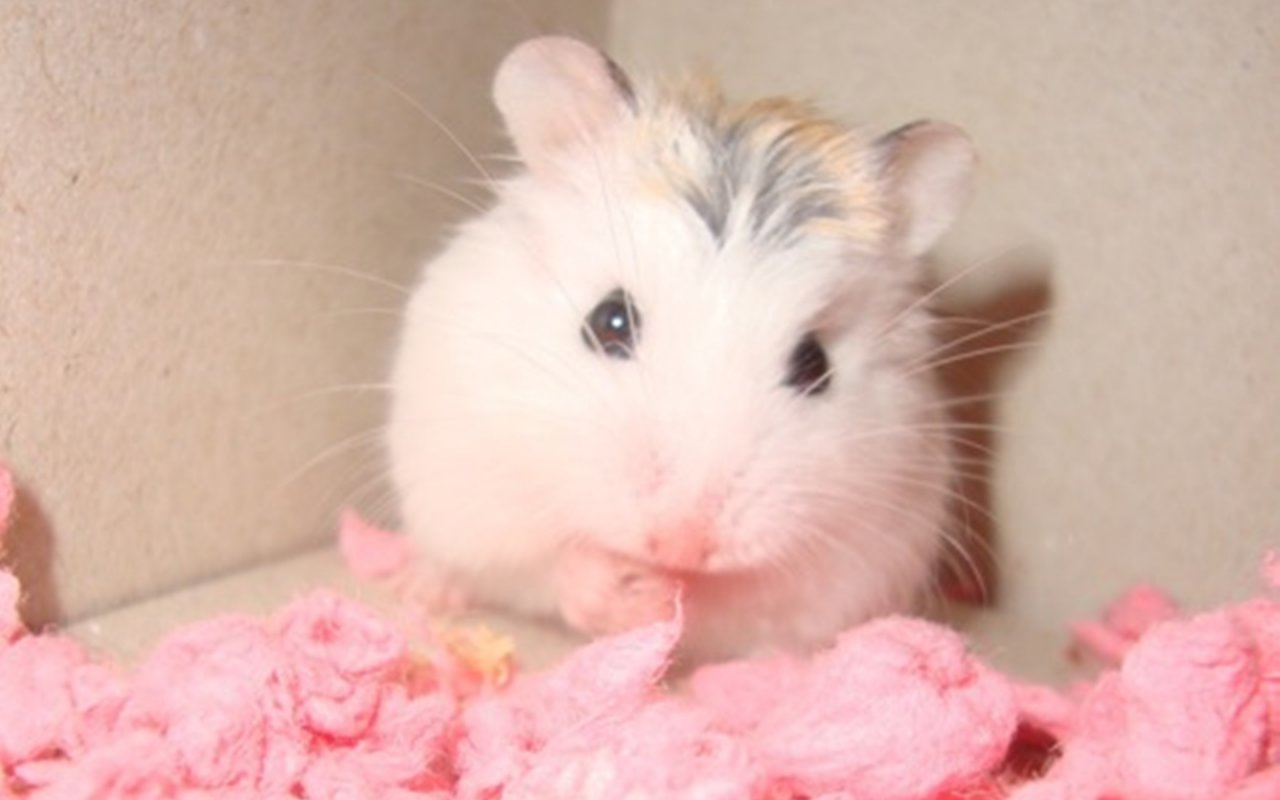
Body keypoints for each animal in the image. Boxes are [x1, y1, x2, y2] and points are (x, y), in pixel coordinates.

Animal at [388, 36, 976, 663]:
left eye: (815, 364)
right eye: (609, 320)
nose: (681, 544)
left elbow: (722, 601)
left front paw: (663, 596)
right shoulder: (484, 487)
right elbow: (552, 560)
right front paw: (621, 597)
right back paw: (422, 589)